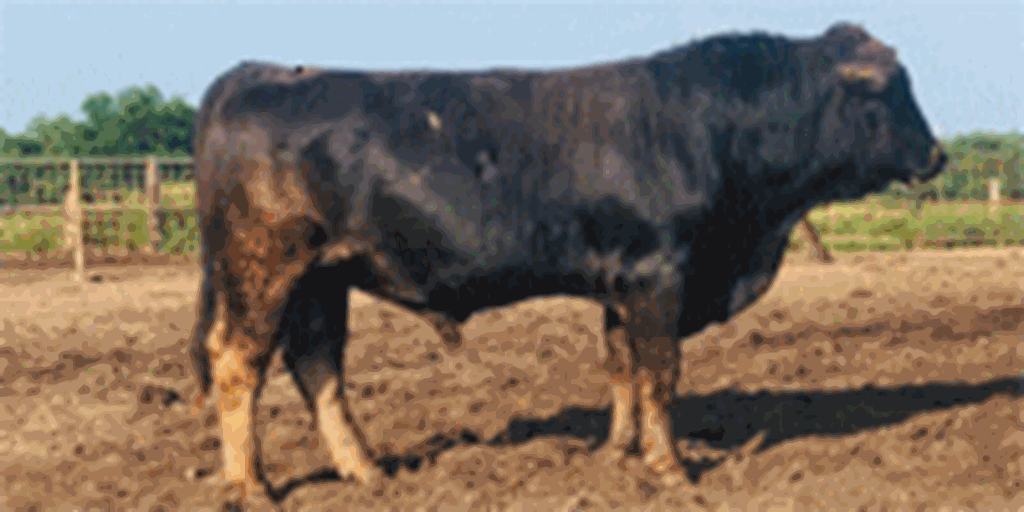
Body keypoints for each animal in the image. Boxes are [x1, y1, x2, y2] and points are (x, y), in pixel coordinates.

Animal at [189, 22, 947, 504]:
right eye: (892, 91)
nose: (938, 154)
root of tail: (258, 72)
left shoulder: (622, 283)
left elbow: (623, 369)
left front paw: (620, 453)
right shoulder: (659, 275)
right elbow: (661, 374)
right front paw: (670, 468)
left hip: (322, 278)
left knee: (316, 365)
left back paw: (365, 471)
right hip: (264, 268)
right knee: (237, 361)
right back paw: (251, 485)